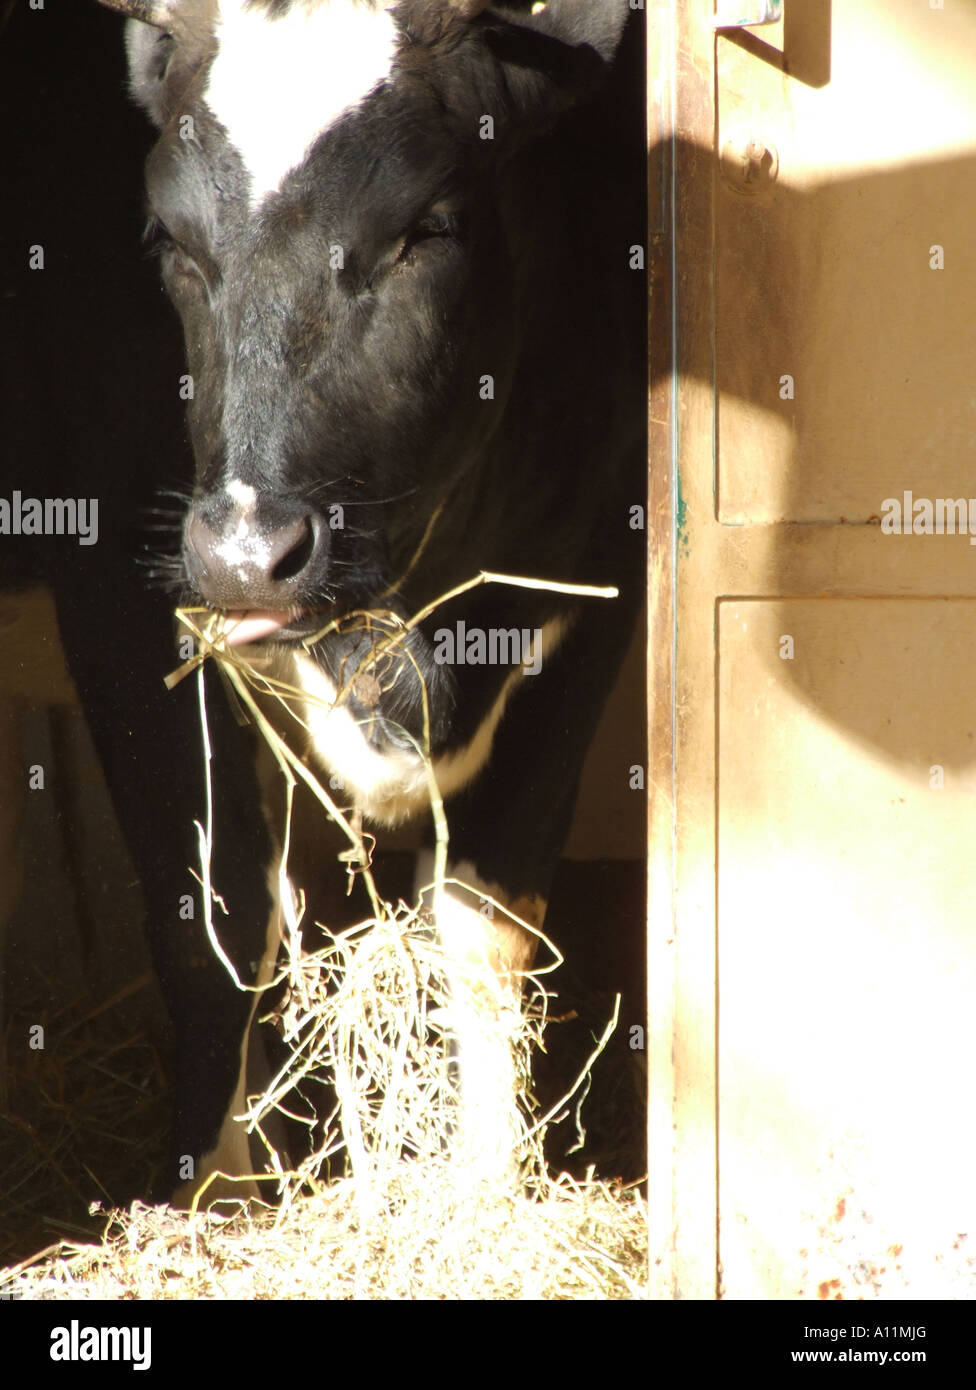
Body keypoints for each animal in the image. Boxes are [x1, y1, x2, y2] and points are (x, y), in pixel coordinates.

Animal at [78, 0, 643, 1201]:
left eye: (428, 225)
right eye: (170, 243)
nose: (249, 554)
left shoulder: (594, 589)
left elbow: (489, 923)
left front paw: (488, 1187)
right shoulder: (118, 604)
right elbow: (217, 913)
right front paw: (218, 1191)